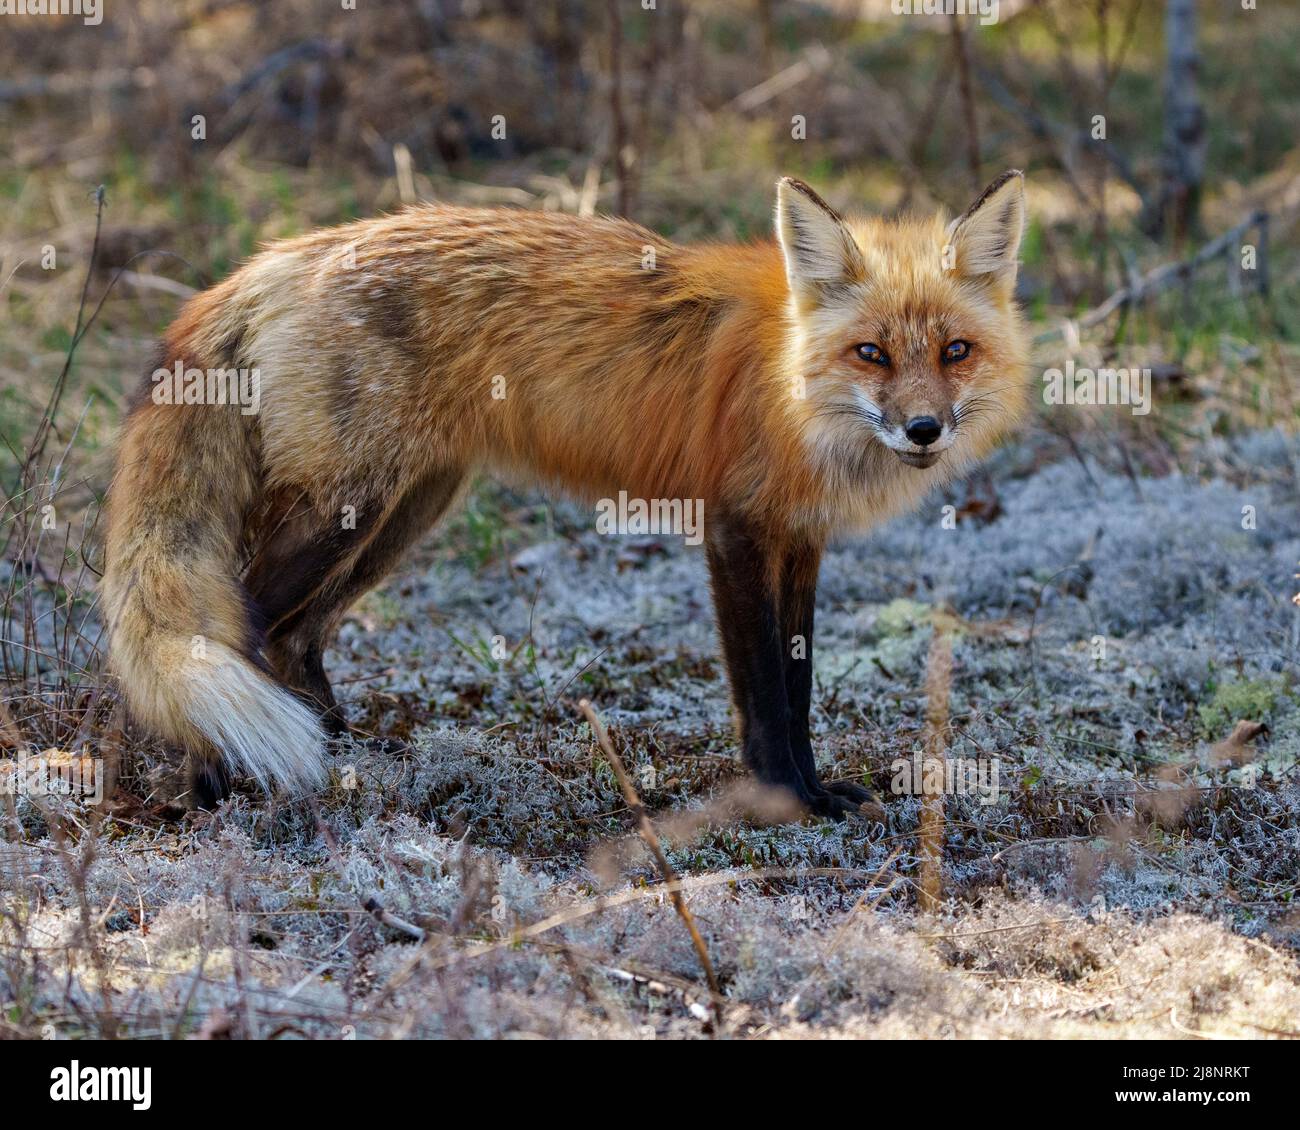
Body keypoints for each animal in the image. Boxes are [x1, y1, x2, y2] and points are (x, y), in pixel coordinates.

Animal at [102, 170, 1029, 818]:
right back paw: (211, 787)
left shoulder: (799, 540)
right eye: (872, 352)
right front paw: (785, 803)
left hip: (402, 511)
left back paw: (337, 758)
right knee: (236, 628)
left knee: (293, 638)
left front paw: (817, 789)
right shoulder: (734, 529)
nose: (924, 430)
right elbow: (766, 694)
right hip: (343, 511)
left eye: (955, 350)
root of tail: (271, 259)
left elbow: (797, 690)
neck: (788, 383)